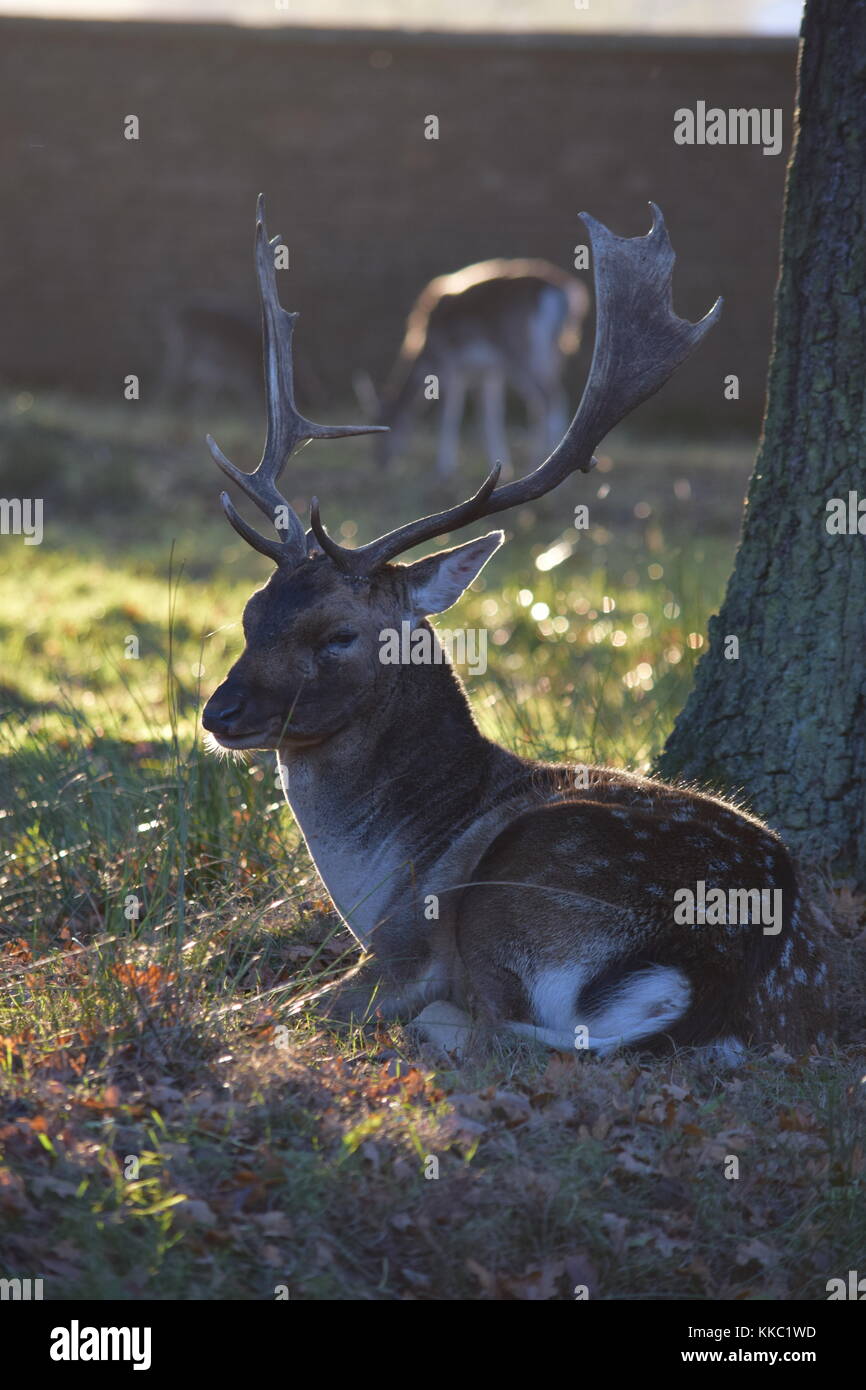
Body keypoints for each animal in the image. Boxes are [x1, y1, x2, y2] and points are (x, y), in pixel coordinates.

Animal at [357, 259, 590, 479]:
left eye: (385, 425)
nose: (380, 464)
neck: (424, 350)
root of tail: (562, 294)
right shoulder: (488, 371)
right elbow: (489, 416)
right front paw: (502, 467)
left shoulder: (450, 364)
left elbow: (449, 414)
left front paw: (443, 470)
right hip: (553, 351)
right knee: (546, 398)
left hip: (520, 350)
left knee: (550, 397)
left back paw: (543, 465)